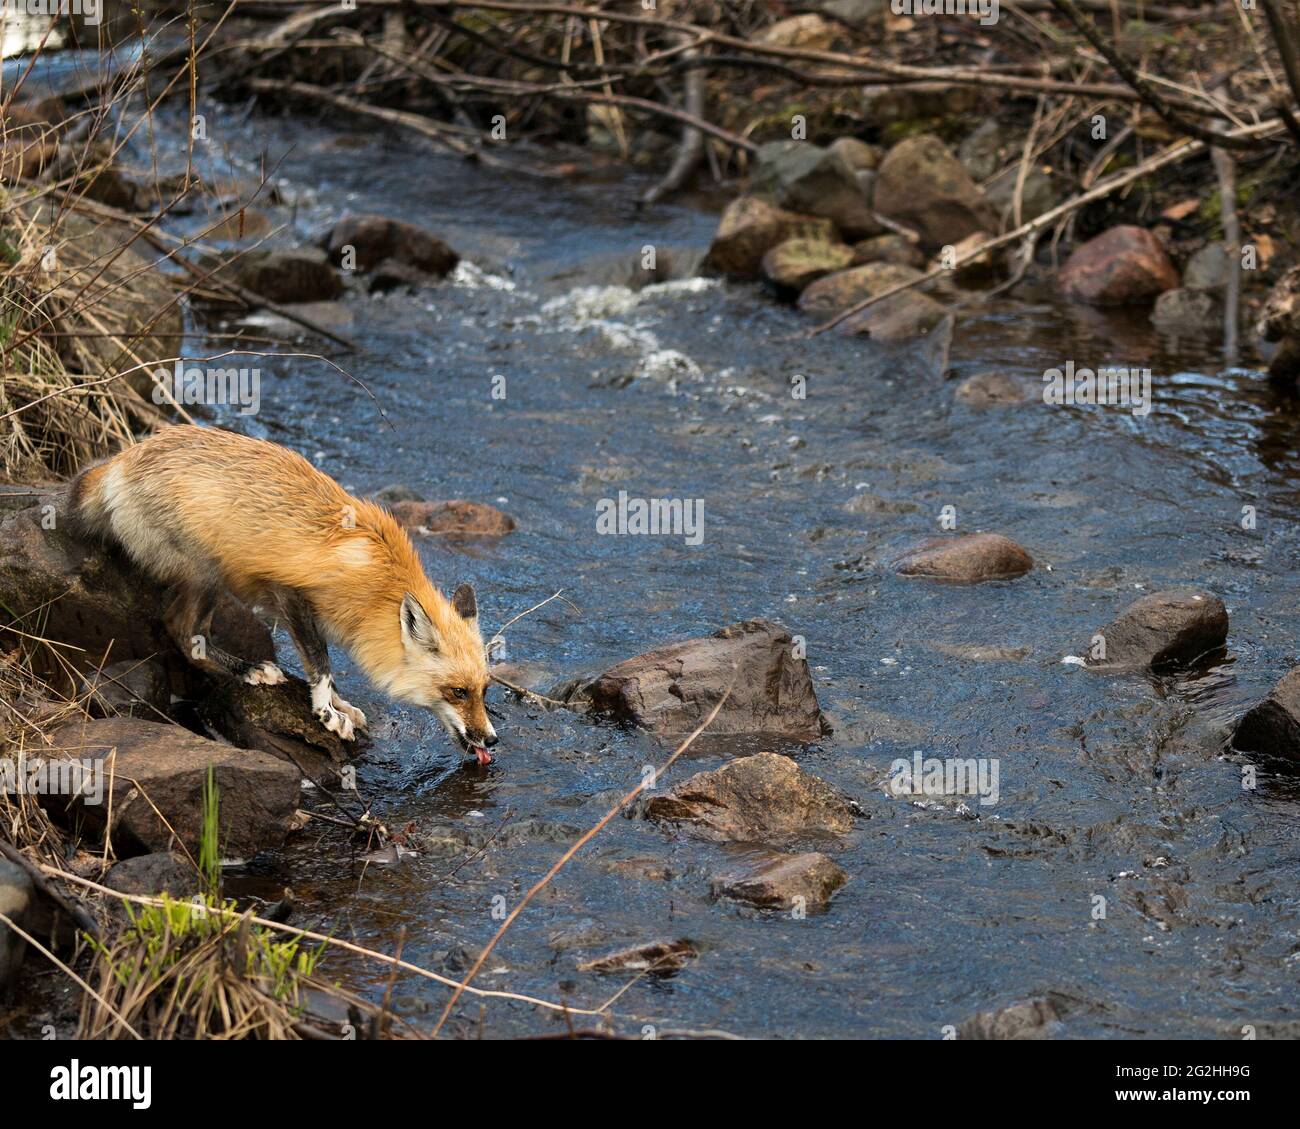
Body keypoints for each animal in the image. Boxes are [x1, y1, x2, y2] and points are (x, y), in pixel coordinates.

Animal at [69, 425, 498, 764]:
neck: (376, 582)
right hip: (208, 572)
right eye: (457, 692)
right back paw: (247, 669)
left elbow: (324, 670)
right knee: (184, 632)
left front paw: (340, 705)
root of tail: (122, 459)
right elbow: (321, 665)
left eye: (484, 690)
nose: (492, 739)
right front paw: (327, 713)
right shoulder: (292, 594)